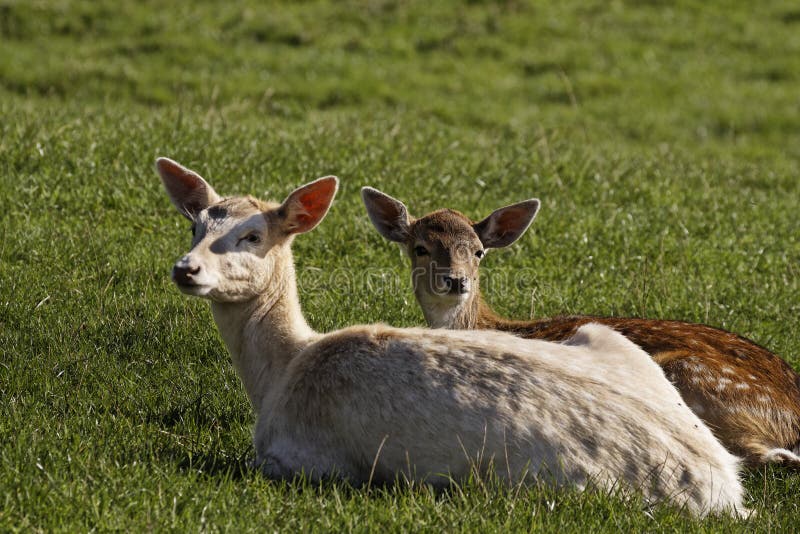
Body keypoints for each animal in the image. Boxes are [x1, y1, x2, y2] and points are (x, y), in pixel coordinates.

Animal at [156, 157, 746, 516]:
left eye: (252, 236)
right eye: (194, 226)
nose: (186, 269)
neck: (281, 375)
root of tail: (726, 484)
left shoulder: (305, 462)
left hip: (550, 485)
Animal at [361, 186, 800, 469]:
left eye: (479, 252)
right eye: (420, 248)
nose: (456, 281)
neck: (488, 325)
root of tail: (791, 412)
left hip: (696, 379)